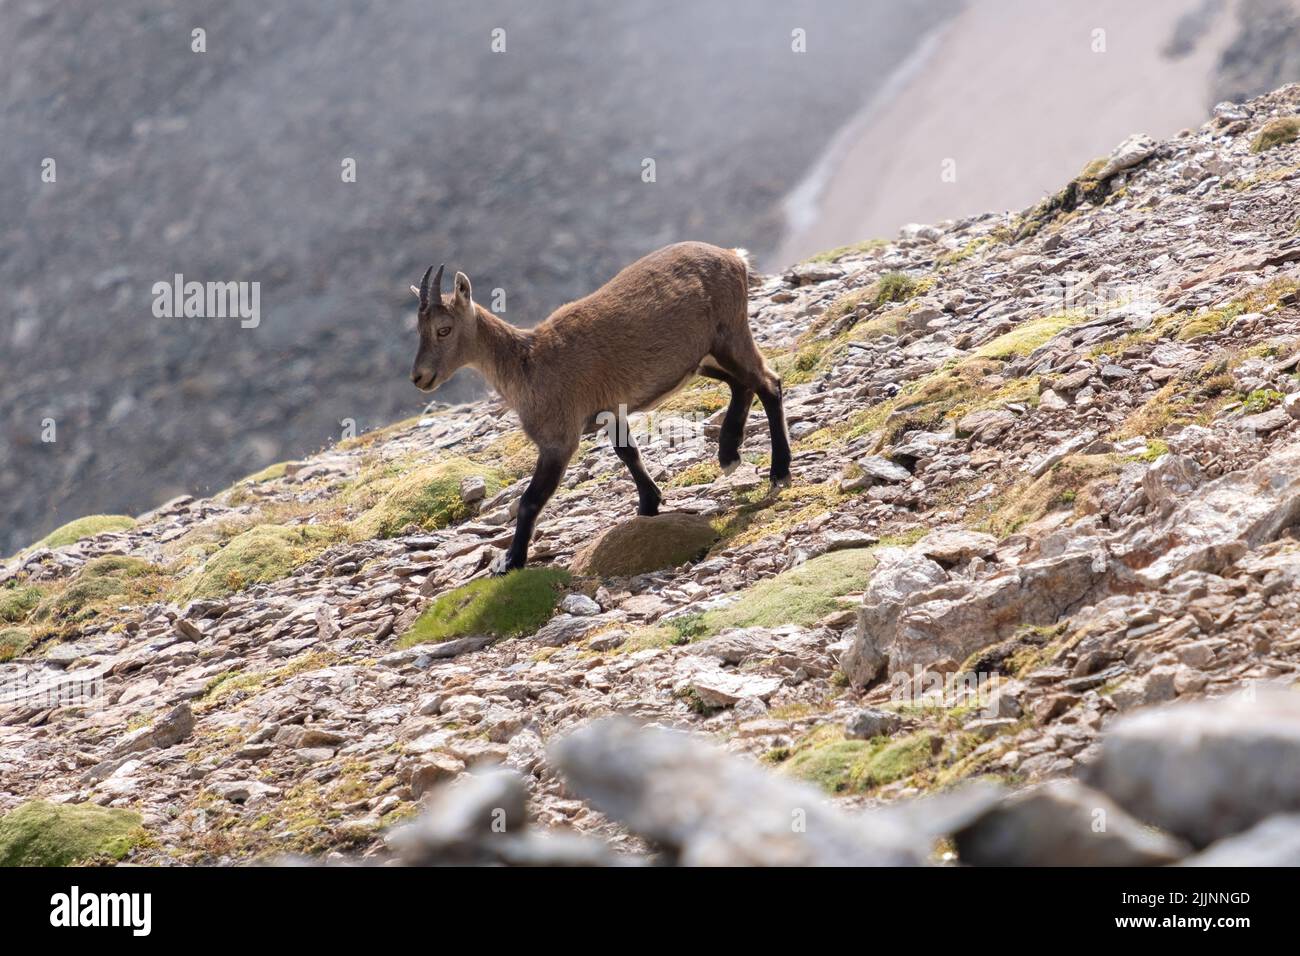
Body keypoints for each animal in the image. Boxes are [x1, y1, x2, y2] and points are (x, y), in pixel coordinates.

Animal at [408, 241, 791, 572]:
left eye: (444, 329)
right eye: (419, 330)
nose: (419, 377)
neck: (527, 362)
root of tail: (733, 257)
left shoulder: (559, 439)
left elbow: (530, 500)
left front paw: (511, 561)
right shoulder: (611, 412)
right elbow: (628, 453)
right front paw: (649, 504)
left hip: (730, 334)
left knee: (768, 383)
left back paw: (778, 471)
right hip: (702, 358)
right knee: (742, 384)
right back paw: (729, 453)